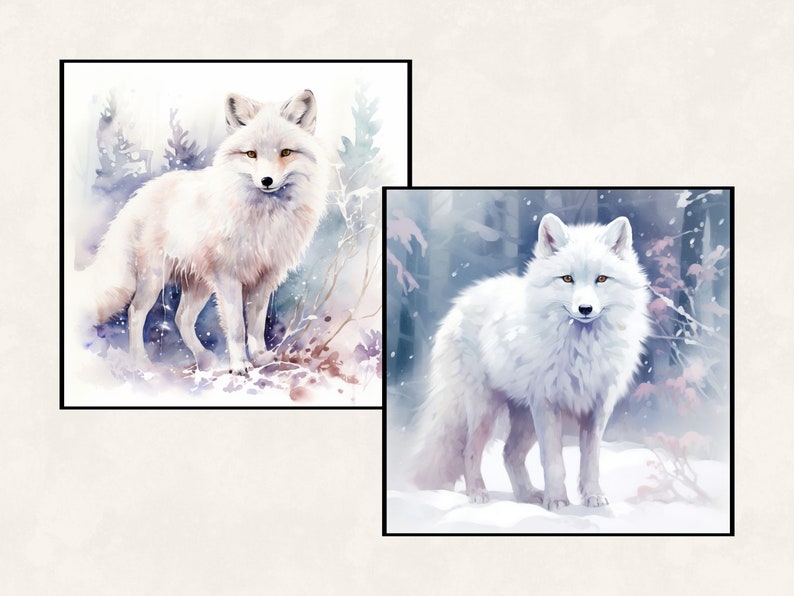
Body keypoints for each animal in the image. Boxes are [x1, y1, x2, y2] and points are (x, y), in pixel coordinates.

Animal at [86, 90, 328, 374]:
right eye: (251, 154)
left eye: (286, 152)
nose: (266, 181)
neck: (265, 218)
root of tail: (138, 195)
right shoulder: (229, 278)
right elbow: (237, 327)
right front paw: (239, 365)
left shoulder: (263, 278)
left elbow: (256, 326)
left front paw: (259, 357)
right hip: (154, 279)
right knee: (136, 313)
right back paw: (141, 362)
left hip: (198, 286)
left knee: (181, 318)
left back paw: (203, 358)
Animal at [412, 213, 651, 509]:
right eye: (567, 278)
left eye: (602, 279)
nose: (585, 309)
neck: (581, 349)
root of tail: (459, 304)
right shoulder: (547, 405)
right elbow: (554, 462)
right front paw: (557, 501)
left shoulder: (598, 408)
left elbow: (591, 462)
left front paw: (592, 496)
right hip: (486, 411)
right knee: (470, 451)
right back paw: (478, 494)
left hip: (524, 419)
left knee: (509, 453)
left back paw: (526, 495)